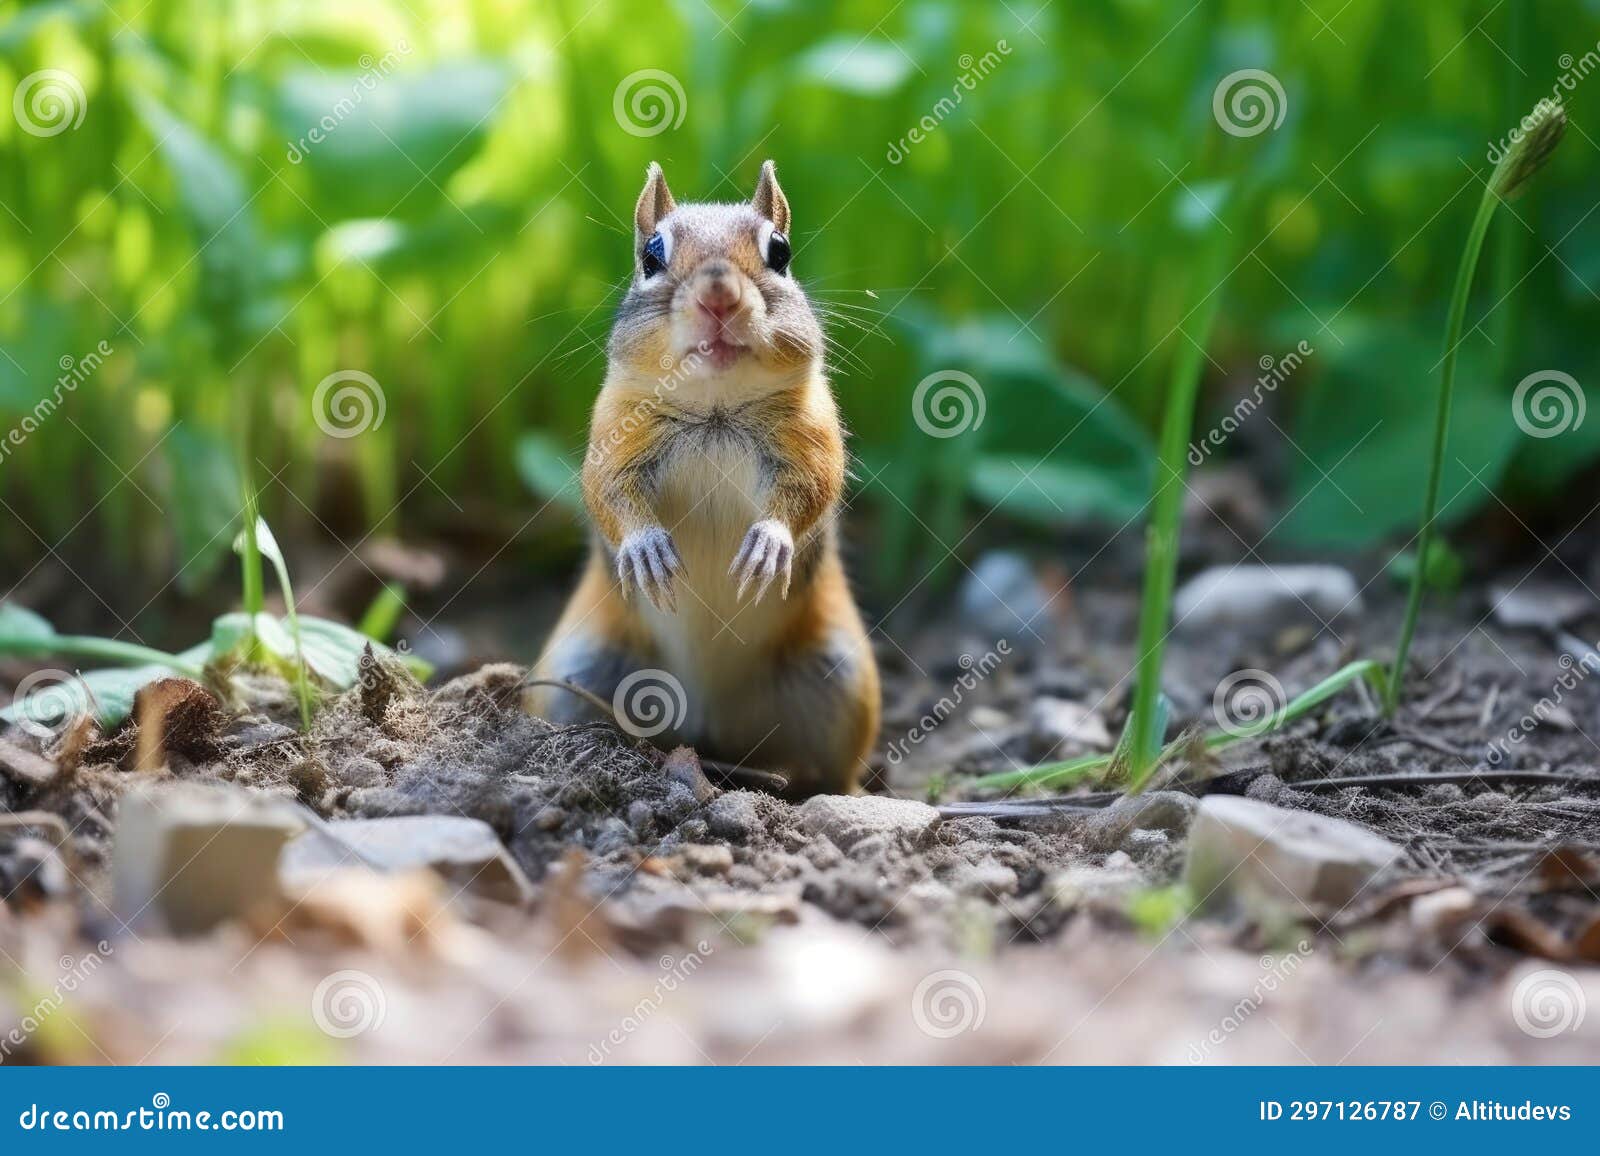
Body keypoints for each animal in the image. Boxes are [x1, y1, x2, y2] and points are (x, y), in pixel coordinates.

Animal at [528, 160, 880, 797]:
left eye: (780, 250)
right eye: (652, 254)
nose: (719, 295)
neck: (715, 409)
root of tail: (709, 721)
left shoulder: (812, 435)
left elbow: (814, 485)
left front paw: (768, 544)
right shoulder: (615, 432)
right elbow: (607, 490)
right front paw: (647, 548)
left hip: (839, 682)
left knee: (831, 771)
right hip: (586, 667)